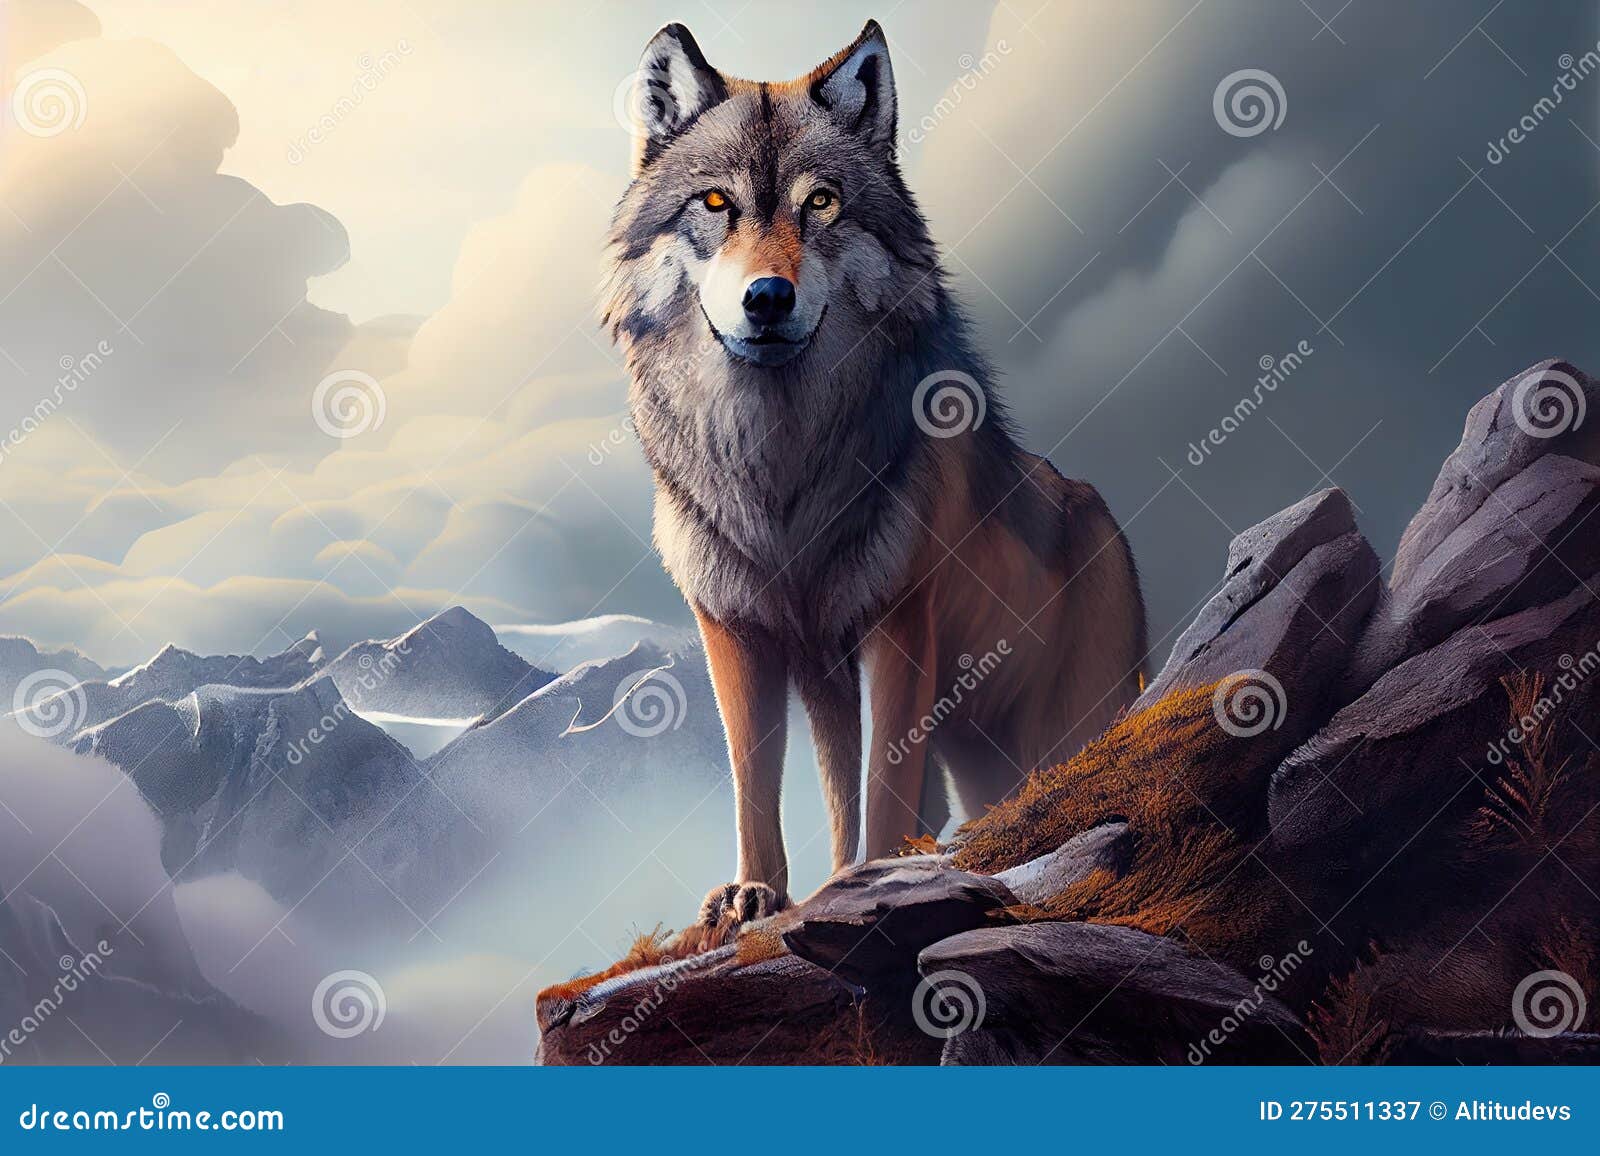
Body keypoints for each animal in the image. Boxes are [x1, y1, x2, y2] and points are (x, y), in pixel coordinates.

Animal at [602, 20, 1147, 928]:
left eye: (820, 202)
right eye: (715, 205)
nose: (767, 298)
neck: (779, 471)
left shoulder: (899, 620)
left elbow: (886, 784)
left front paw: (882, 875)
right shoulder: (742, 631)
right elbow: (761, 780)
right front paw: (758, 892)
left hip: (1066, 720)